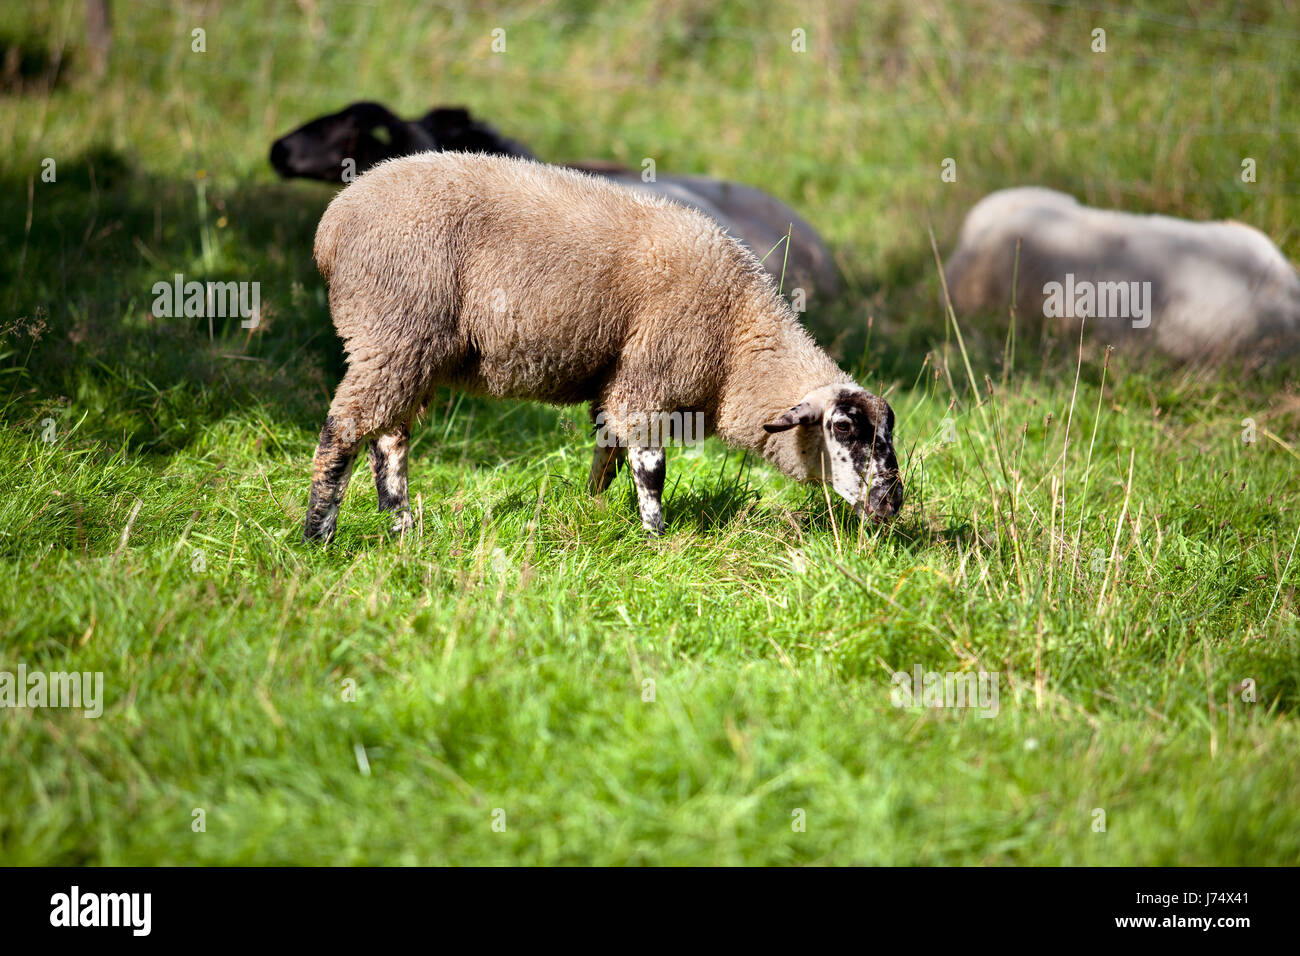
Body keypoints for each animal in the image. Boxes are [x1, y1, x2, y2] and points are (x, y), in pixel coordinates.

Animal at [302, 152, 902, 543]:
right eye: (843, 429)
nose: (892, 503)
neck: (739, 346)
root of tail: (333, 221)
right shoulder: (651, 380)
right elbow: (650, 469)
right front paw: (657, 539)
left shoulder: (620, 387)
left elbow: (606, 460)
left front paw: (591, 511)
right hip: (391, 329)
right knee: (343, 430)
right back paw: (319, 536)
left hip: (410, 350)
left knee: (388, 440)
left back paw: (403, 531)